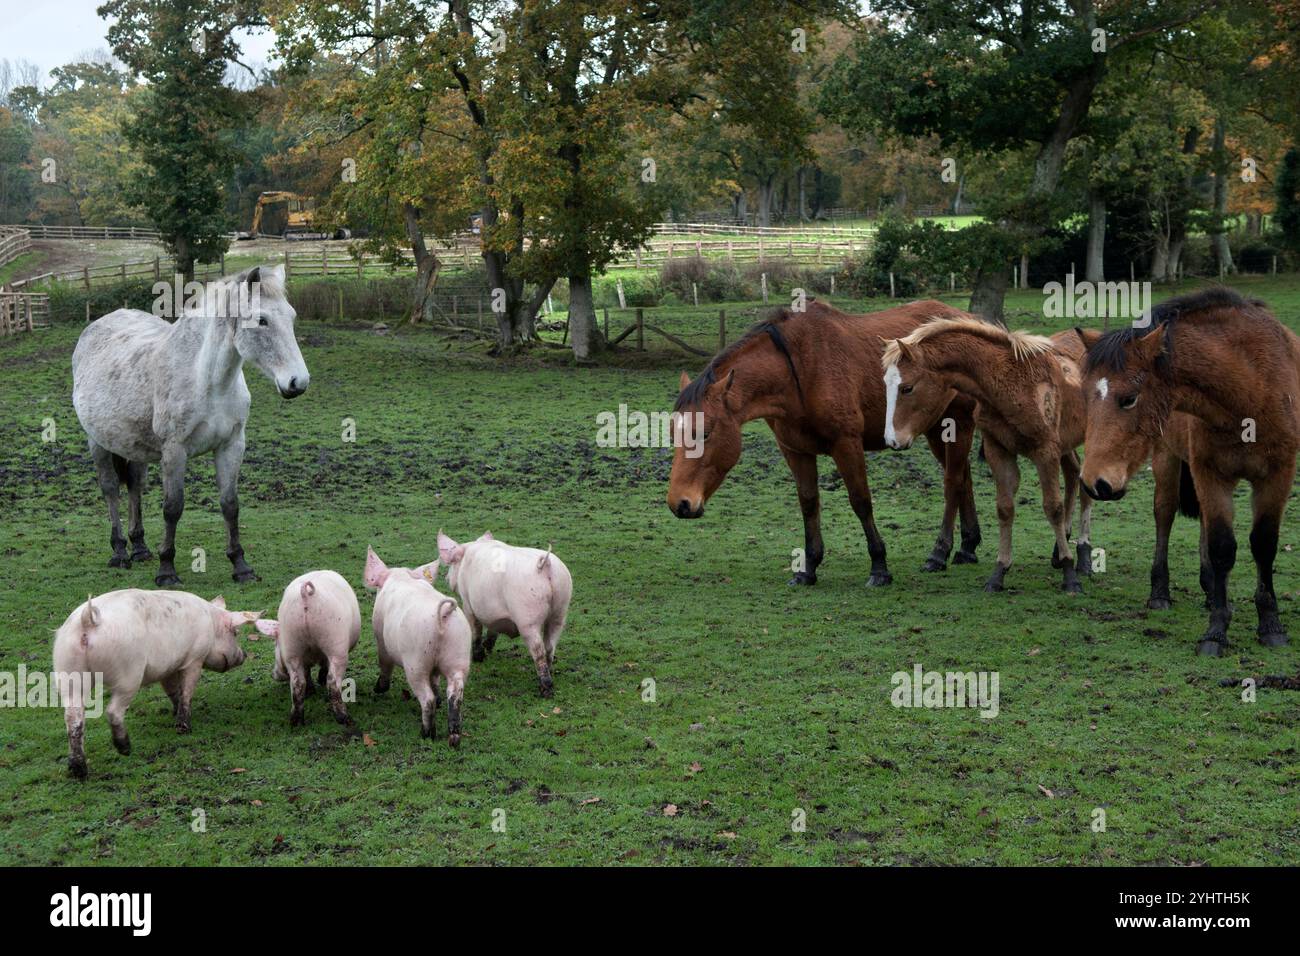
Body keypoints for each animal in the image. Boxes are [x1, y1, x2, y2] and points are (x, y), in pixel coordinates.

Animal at [52, 589, 258, 779]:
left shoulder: (167, 668)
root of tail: (88, 619)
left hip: (67, 669)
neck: (212, 624)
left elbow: (172, 690)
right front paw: (183, 726)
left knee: (72, 716)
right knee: (112, 711)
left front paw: (174, 712)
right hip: (128, 673)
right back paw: (125, 749)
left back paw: (79, 771)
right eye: (235, 632)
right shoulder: (194, 658)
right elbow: (186, 691)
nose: (244, 655)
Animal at [252, 570, 361, 727]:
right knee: (332, 681)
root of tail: (305, 594)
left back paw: (296, 722)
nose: (274, 675)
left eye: (275, 644)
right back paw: (344, 719)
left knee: (297, 683)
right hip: (336, 643)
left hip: (292, 644)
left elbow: (307, 672)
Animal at [363, 547, 470, 747]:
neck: (401, 577)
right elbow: (435, 679)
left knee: (427, 699)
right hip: (459, 654)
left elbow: (384, 662)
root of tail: (443, 614)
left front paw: (378, 689)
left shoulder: (380, 636)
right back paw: (454, 738)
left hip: (416, 662)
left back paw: (426, 734)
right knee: (455, 693)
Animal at [437, 531, 572, 698]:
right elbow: (493, 628)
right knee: (550, 646)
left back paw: (545, 688)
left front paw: (478, 658)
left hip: (527, 617)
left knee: (538, 649)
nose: (446, 578)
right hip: (561, 608)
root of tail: (545, 564)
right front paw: (488, 648)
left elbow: (476, 629)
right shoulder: (495, 615)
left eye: (452, 564)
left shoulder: (468, 603)